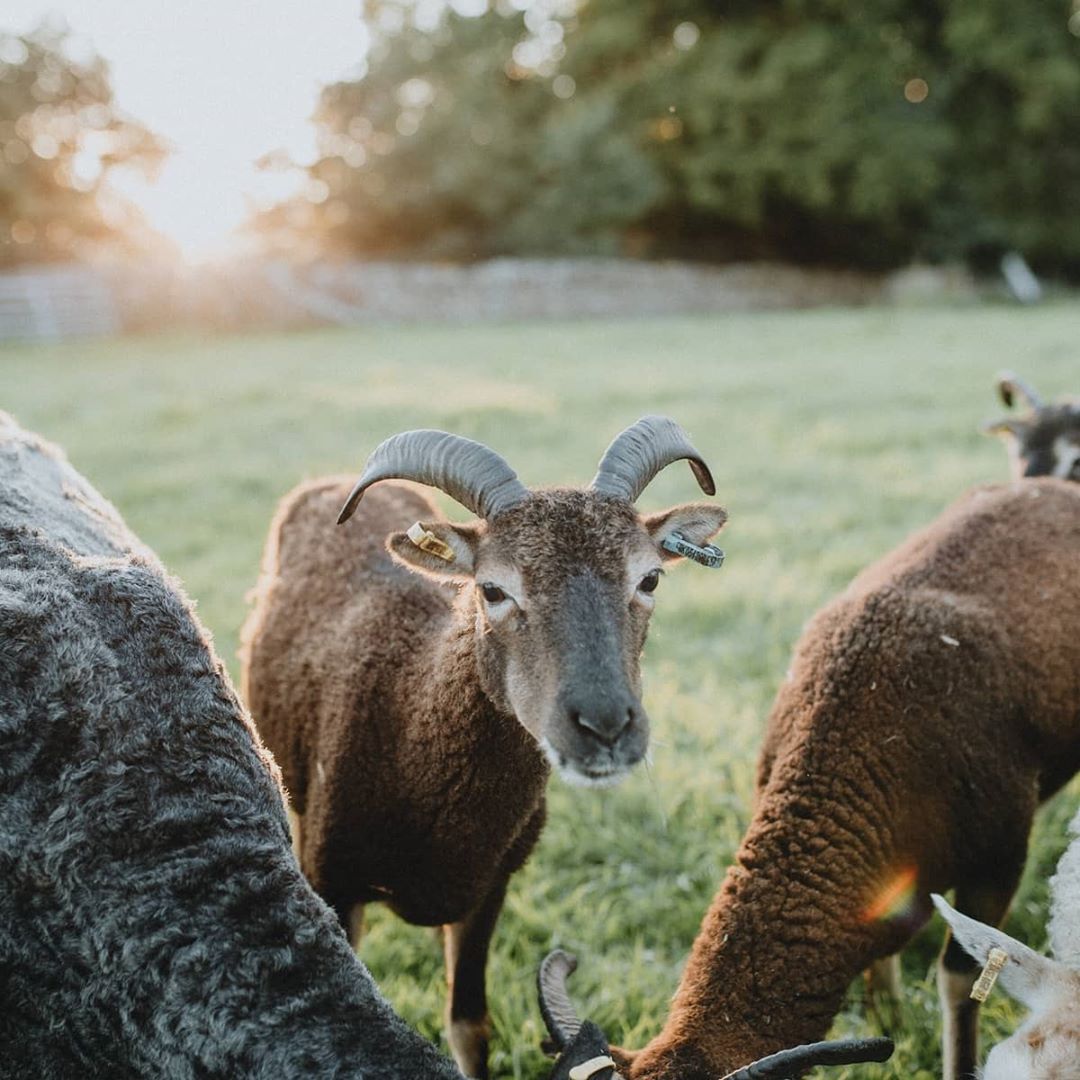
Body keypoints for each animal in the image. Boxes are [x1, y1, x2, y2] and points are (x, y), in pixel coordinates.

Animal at [239, 418, 728, 1079]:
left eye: (649, 578)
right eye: (492, 589)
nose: (604, 726)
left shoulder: (490, 887)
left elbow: (470, 1026)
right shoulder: (335, 882)